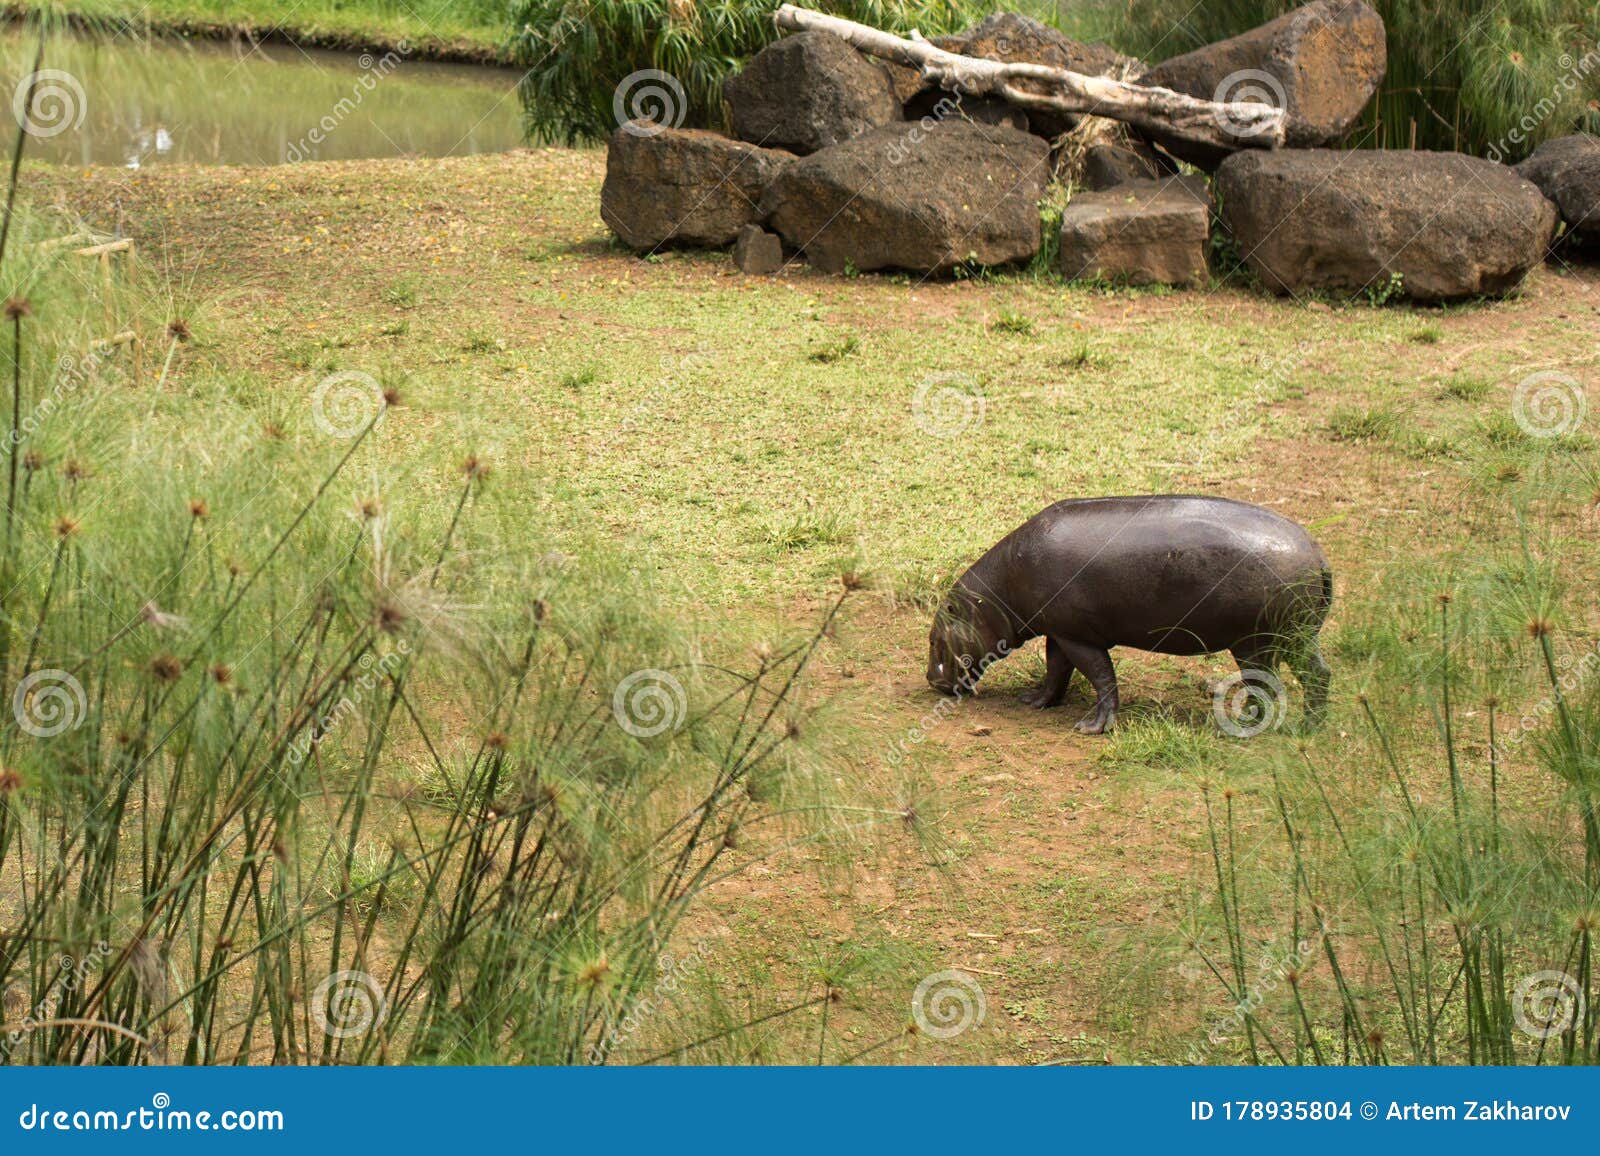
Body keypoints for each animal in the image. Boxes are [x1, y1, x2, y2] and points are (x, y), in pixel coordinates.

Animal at [926, 496, 1332, 734]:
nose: (930, 679)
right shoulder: (1059, 632)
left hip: (1261, 641)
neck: (994, 596)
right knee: (1310, 674)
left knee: (1270, 681)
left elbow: (1100, 675)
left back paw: (1251, 727)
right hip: (1291, 637)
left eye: (933, 637)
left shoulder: (1079, 637)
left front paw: (1092, 727)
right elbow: (1055, 670)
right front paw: (1034, 700)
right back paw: (1299, 727)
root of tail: (1315, 550)